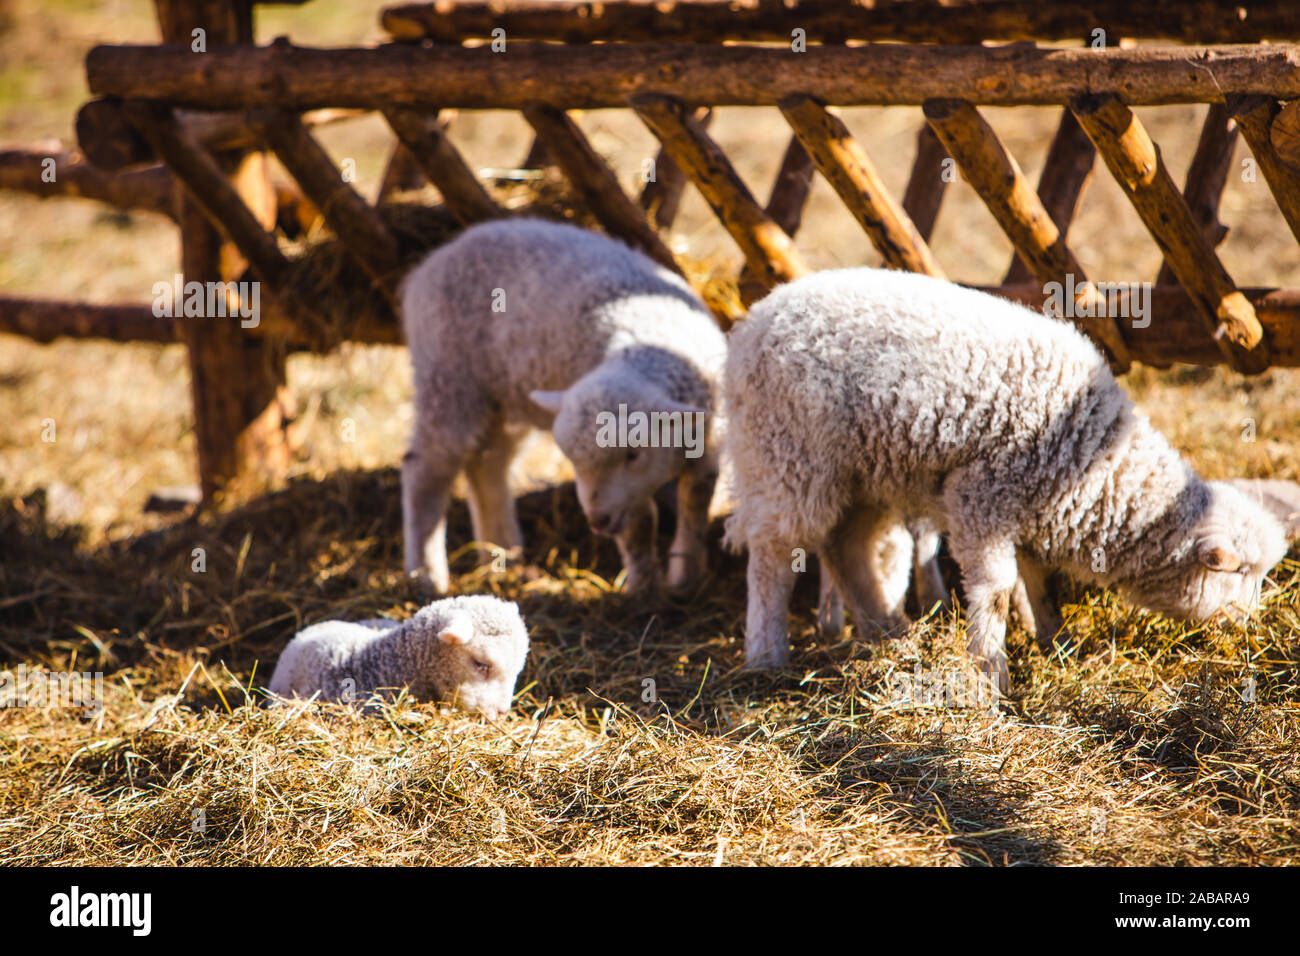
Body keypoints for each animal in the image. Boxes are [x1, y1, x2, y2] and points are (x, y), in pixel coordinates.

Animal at [400, 218, 727, 596]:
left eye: (633, 455)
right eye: (572, 461)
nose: (597, 519)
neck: (650, 346)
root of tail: (431, 262)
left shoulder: (708, 446)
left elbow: (696, 501)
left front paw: (688, 577)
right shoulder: (627, 499)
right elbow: (642, 523)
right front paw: (644, 589)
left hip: (502, 394)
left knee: (488, 463)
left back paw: (503, 553)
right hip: (448, 376)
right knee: (426, 469)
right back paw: (426, 575)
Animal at [724, 267, 1288, 692]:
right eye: (1241, 573)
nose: (1252, 624)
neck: (1094, 460)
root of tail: (755, 316)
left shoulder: (1030, 512)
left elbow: (1039, 584)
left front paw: (1055, 642)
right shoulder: (983, 500)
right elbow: (997, 590)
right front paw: (992, 674)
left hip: (864, 474)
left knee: (847, 547)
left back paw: (887, 629)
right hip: (787, 458)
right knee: (772, 557)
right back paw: (768, 655)